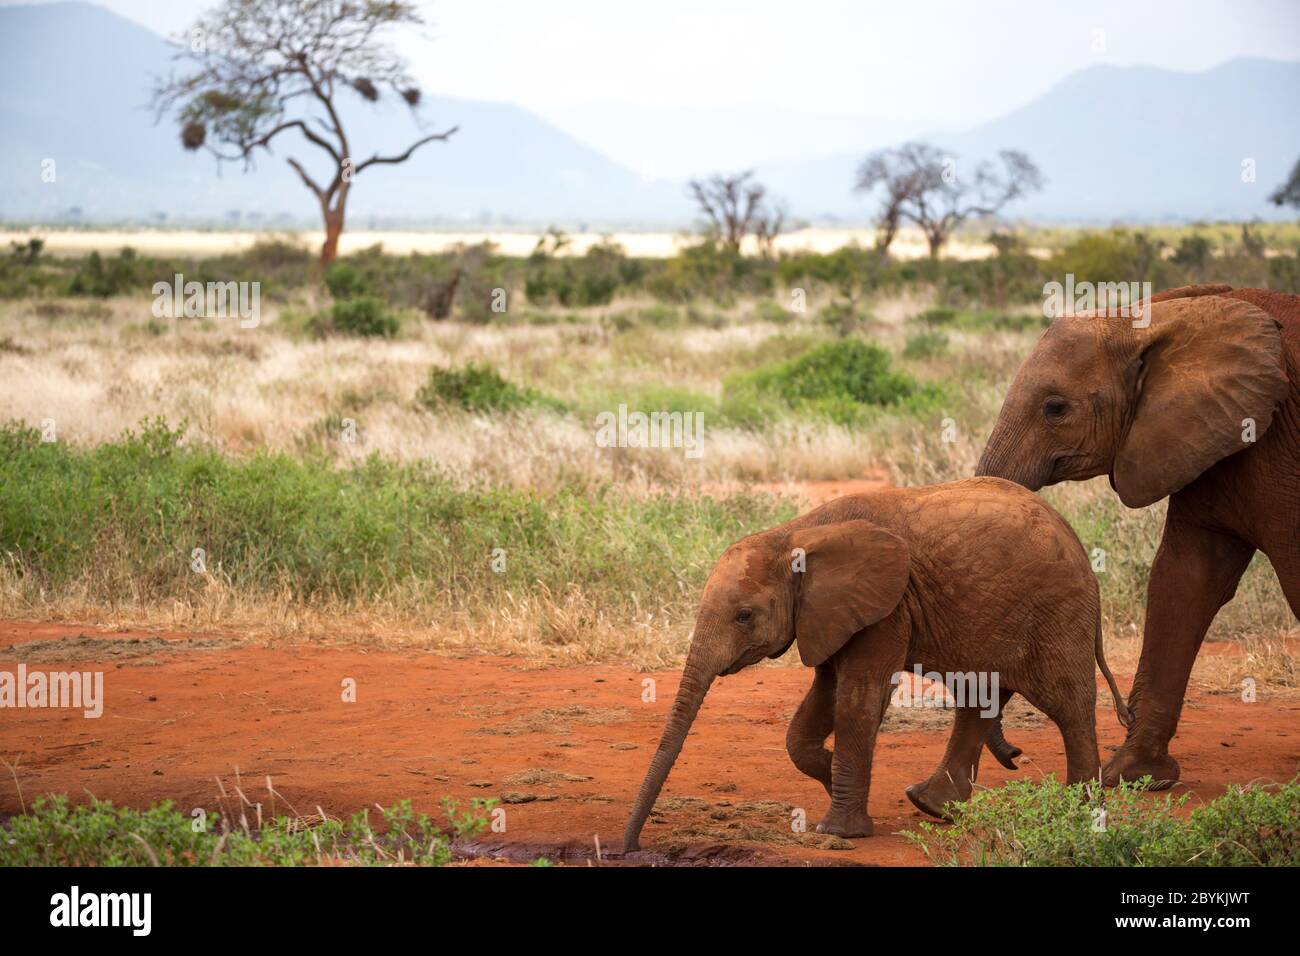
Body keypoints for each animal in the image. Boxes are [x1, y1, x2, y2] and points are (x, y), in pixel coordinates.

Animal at [622, 477, 1130, 851]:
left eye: (744, 616)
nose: (628, 848)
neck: (795, 535)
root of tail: (1077, 541)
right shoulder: (829, 613)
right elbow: (816, 706)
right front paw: (831, 777)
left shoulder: (888, 606)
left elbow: (857, 700)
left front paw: (838, 830)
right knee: (980, 700)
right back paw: (934, 807)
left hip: (1057, 610)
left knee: (1067, 703)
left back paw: (1079, 813)